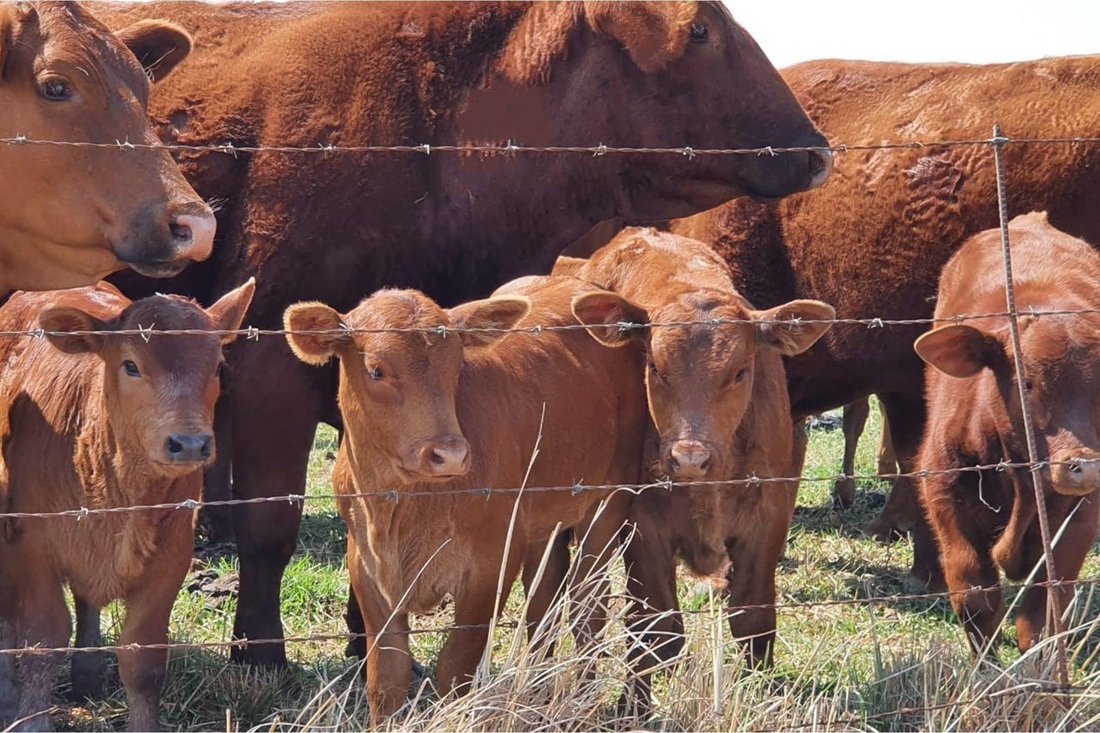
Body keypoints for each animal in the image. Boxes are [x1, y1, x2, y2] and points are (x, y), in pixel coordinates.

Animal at [0, 279, 254, 732]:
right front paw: (30, 718)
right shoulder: (31, 547)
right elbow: (42, 642)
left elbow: (143, 659)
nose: (190, 443)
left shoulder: (171, 555)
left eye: (217, 366)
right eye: (131, 365)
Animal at [95, 0, 833, 666]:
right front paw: (261, 653)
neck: (440, 132)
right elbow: (270, 526)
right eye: (700, 28)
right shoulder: (273, 368)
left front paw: (362, 640)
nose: (817, 150)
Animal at [283, 276, 648, 721]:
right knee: (544, 601)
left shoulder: (490, 565)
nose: (450, 454)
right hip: (540, 524)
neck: (400, 507)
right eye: (376, 369)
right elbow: (387, 676)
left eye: (456, 367)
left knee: (587, 605)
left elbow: (456, 667)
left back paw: (581, 699)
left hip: (607, 503)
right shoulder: (365, 566)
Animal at [561, 228, 834, 713]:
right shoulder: (642, 524)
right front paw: (635, 706)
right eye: (655, 368)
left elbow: (753, 619)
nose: (690, 458)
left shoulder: (770, 514)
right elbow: (655, 630)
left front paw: (759, 697)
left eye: (741, 371)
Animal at [915, 213, 1100, 655]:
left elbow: (1045, 604)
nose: (1083, 466)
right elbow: (975, 596)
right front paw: (986, 666)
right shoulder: (943, 488)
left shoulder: (1084, 513)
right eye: (1026, 381)